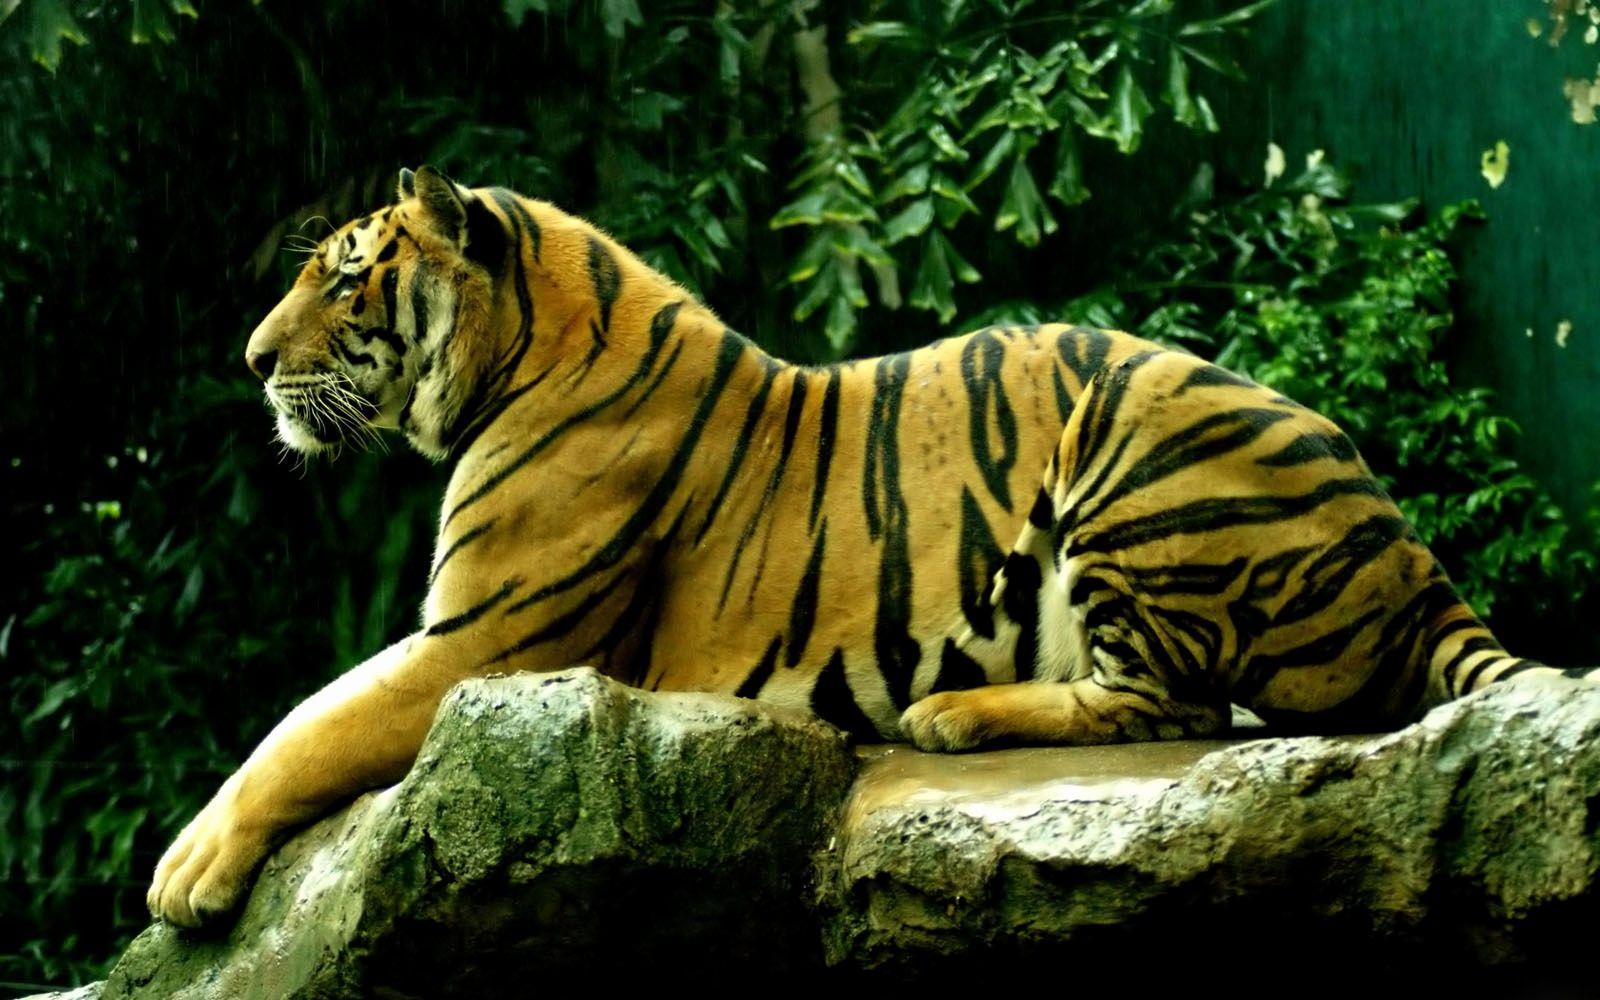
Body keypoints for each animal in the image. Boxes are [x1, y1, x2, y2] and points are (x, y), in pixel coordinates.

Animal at [146, 164, 1588, 927]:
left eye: (346, 275)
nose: (250, 362)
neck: (521, 355)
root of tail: (1410, 551)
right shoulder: (470, 640)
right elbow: (308, 716)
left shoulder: (484, 644)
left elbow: (305, 727)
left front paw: (185, 872)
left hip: (1133, 431)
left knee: (1176, 703)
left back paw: (948, 715)